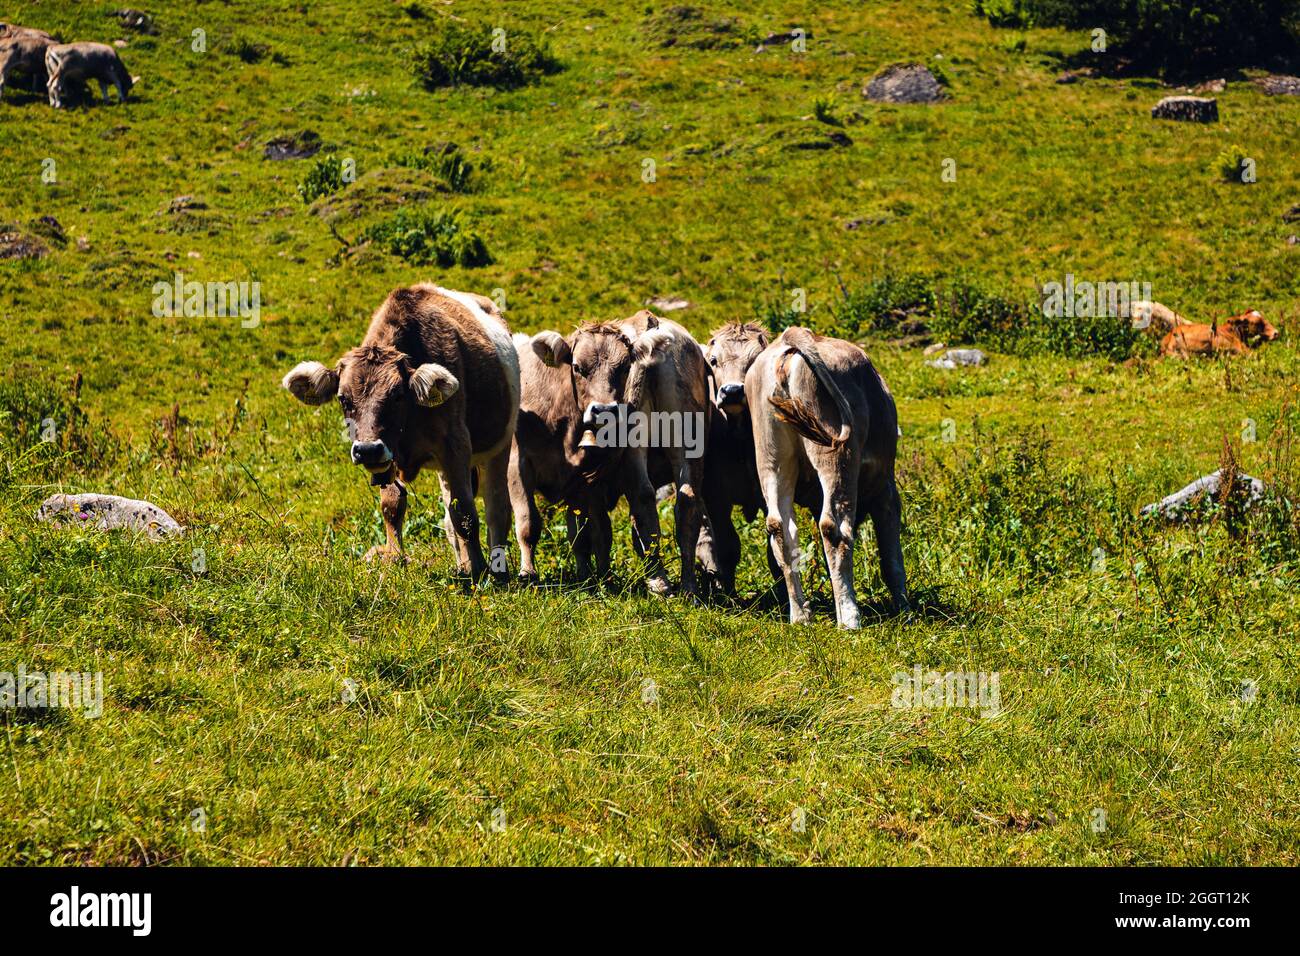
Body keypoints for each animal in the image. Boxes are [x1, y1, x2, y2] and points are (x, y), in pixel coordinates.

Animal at [282, 284, 520, 579]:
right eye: (343, 399)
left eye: (397, 395)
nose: (367, 450)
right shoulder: (389, 452)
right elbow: (393, 505)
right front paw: (394, 558)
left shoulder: (456, 444)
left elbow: (464, 513)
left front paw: (478, 570)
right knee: (449, 517)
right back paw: (461, 565)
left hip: (499, 445)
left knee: (497, 508)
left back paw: (497, 568)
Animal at [529, 310, 712, 598]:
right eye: (578, 367)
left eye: (624, 367)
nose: (604, 410)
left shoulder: (588, 485)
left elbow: (588, 531)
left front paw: (597, 579)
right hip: (688, 438)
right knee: (687, 501)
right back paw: (688, 587)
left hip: (634, 449)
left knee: (642, 498)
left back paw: (658, 582)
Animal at [747, 327, 908, 628]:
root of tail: (791, 338)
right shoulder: (886, 488)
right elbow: (892, 558)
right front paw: (905, 608)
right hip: (837, 456)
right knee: (833, 527)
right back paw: (849, 616)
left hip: (771, 457)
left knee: (780, 528)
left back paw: (801, 614)